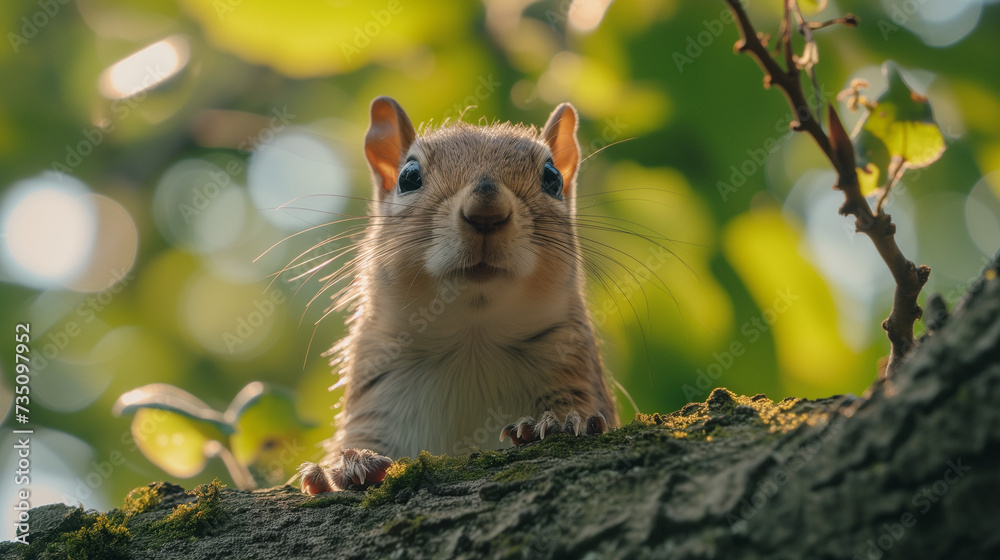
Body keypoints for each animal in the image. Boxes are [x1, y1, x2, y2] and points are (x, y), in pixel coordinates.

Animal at [297, 97, 618, 494]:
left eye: (553, 178)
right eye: (408, 177)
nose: (486, 212)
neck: (472, 338)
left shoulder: (572, 361)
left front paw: (559, 422)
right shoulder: (375, 386)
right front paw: (345, 464)